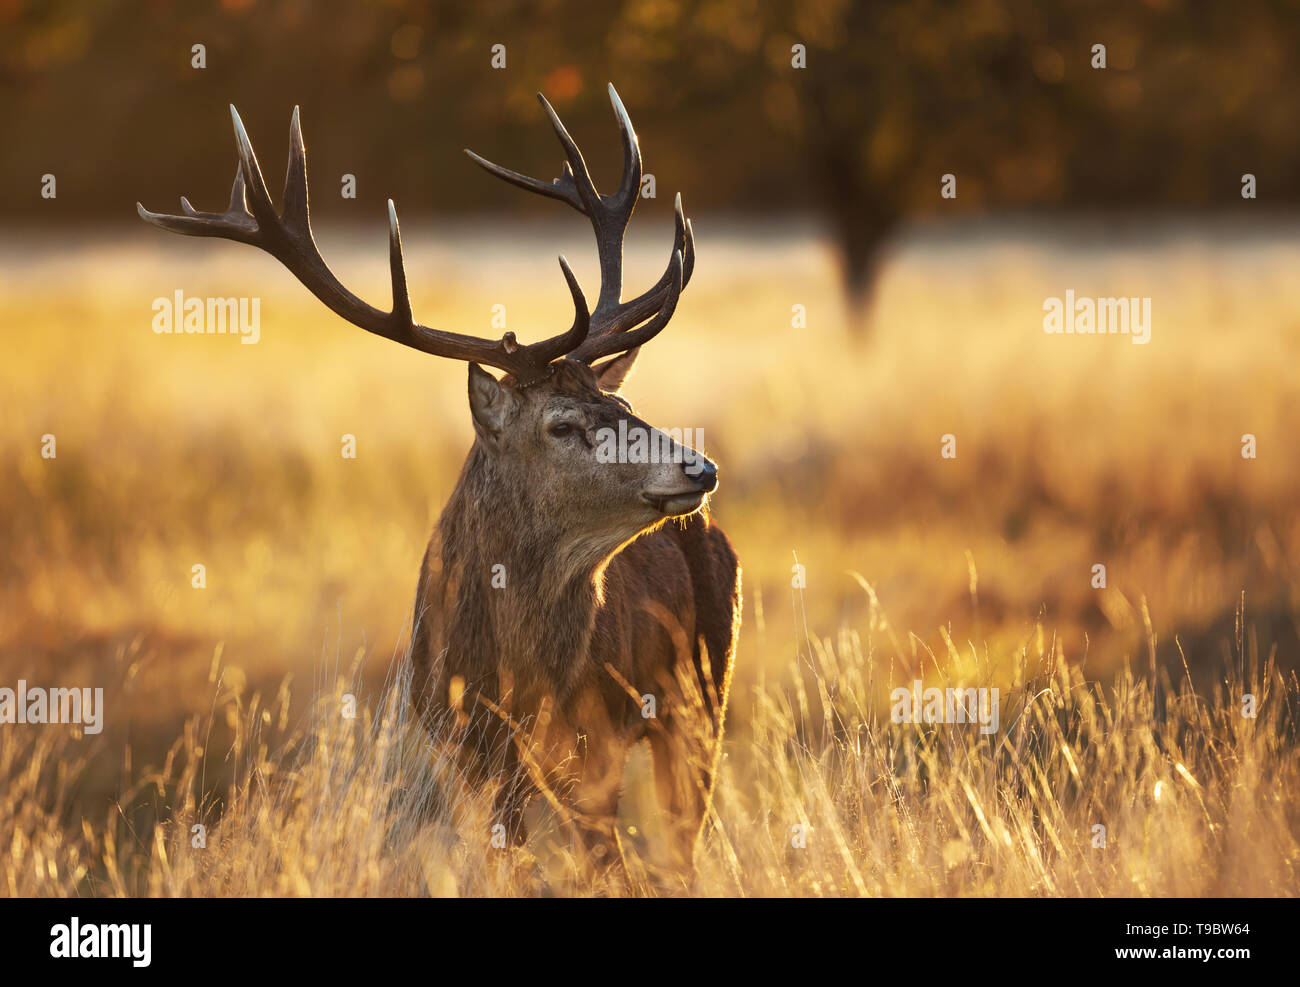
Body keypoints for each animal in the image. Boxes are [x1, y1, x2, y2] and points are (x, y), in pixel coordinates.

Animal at [138, 84, 741, 887]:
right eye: (561, 424)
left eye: (623, 405)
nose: (699, 467)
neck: (508, 678)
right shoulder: (463, 748)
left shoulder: (596, 738)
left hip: (703, 690)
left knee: (678, 842)